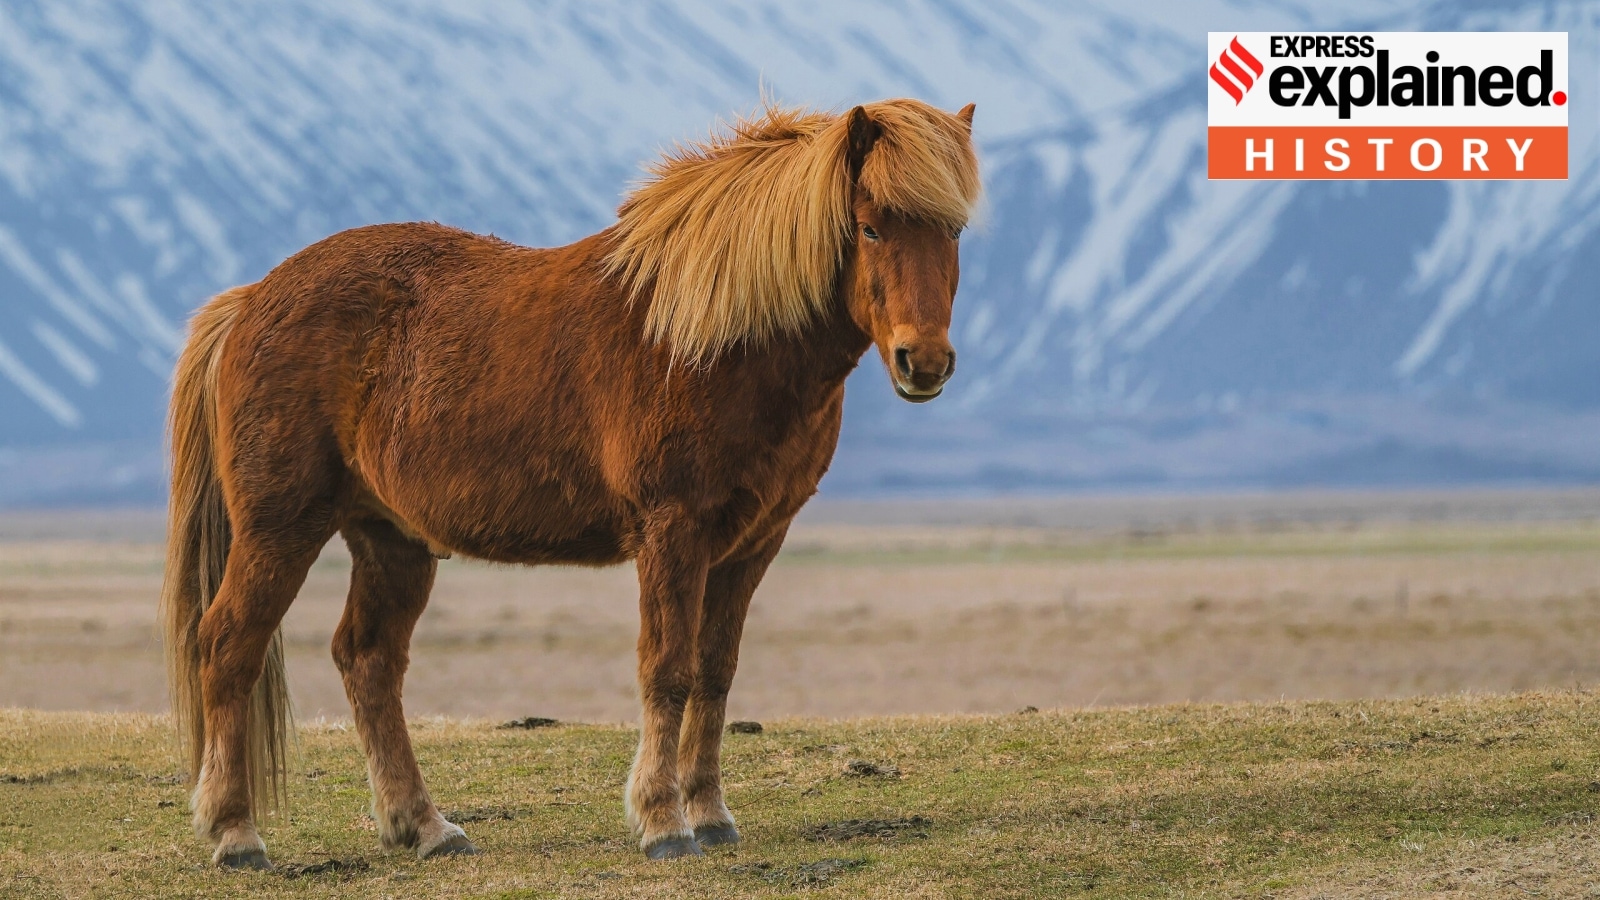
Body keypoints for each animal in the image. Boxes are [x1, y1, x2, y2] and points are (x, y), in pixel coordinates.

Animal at [159, 97, 980, 868]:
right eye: (869, 228)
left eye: (954, 232)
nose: (924, 361)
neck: (717, 338)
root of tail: (252, 298)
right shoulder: (673, 531)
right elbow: (668, 669)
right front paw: (663, 823)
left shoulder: (754, 543)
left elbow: (715, 673)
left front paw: (710, 814)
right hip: (281, 526)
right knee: (229, 644)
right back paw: (236, 834)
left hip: (391, 541)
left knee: (368, 661)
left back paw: (424, 827)